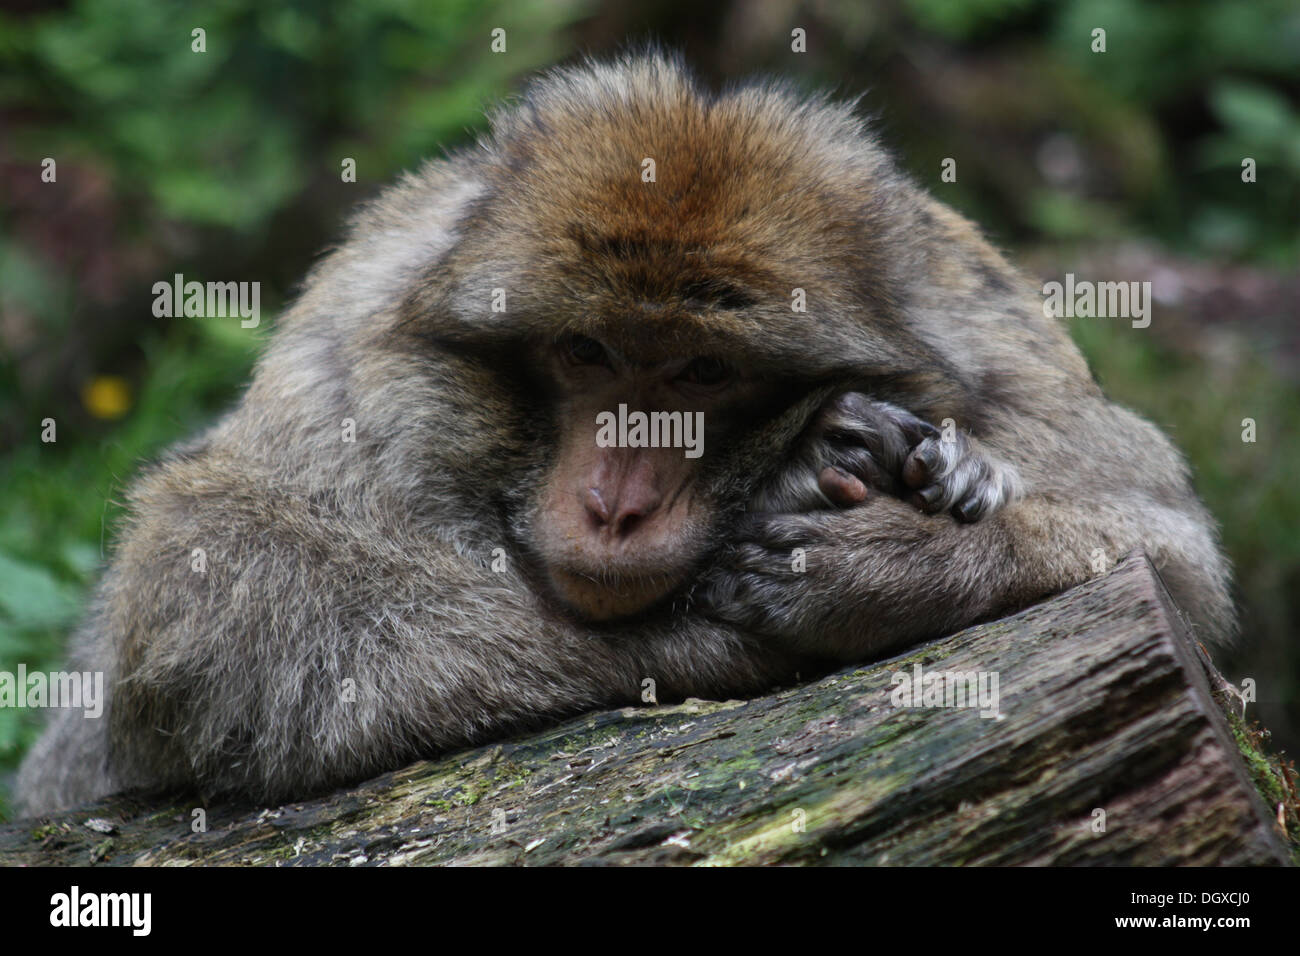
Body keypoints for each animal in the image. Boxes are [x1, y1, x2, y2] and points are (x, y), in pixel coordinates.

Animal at [14, 52, 1232, 816]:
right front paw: (764, 553)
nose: (614, 501)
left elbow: (1168, 545)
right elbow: (214, 582)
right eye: (589, 353)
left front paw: (902, 563)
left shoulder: (996, 344)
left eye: (702, 371)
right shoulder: (342, 379)